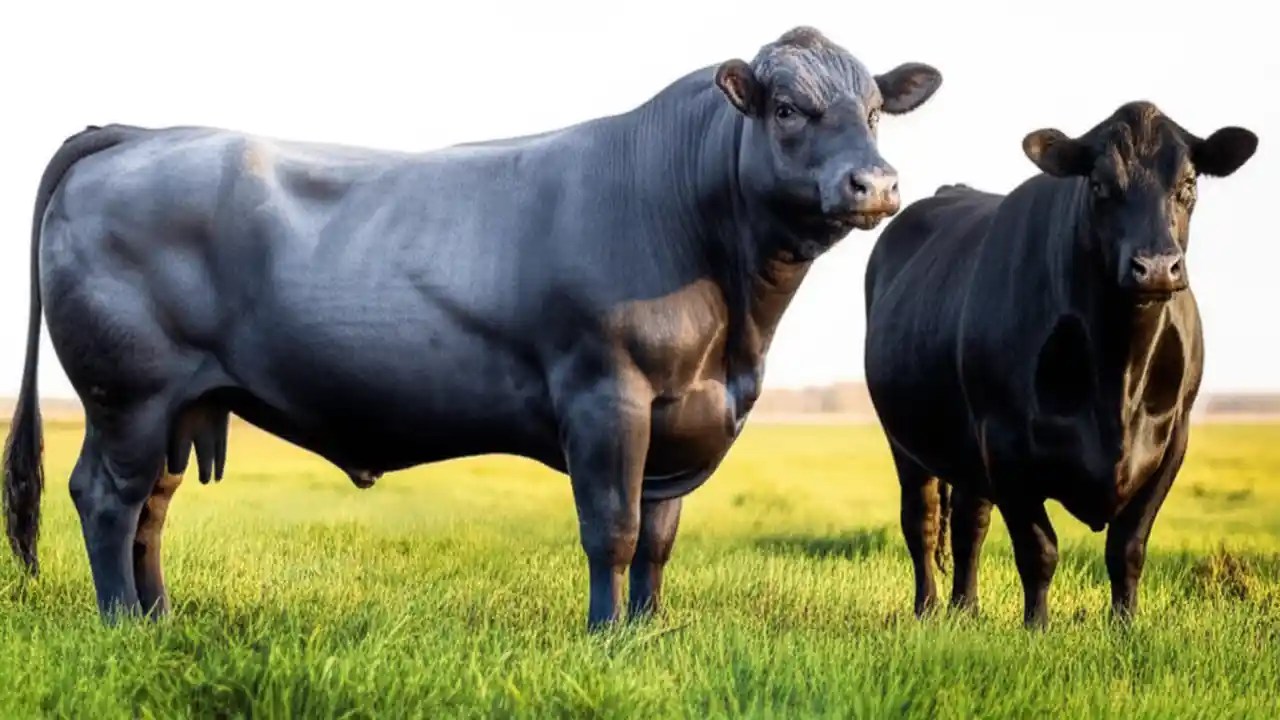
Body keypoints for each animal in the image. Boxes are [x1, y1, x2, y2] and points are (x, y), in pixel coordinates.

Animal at [2, 27, 941, 628]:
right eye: (787, 110)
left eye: (875, 110)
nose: (875, 183)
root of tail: (136, 132)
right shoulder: (607, 395)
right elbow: (613, 529)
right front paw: (606, 636)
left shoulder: (681, 411)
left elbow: (658, 541)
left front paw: (650, 630)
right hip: (127, 393)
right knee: (107, 498)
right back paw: (121, 624)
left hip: (180, 402)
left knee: (152, 508)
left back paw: (159, 618)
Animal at [863, 101, 1257, 627]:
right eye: (1099, 185)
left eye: (1189, 183)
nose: (1155, 267)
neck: (1118, 375)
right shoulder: (1004, 442)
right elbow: (1038, 549)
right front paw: (1037, 627)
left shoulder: (1174, 438)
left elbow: (1127, 547)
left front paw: (1125, 627)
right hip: (905, 440)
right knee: (922, 521)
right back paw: (928, 608)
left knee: (969, 522)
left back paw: (966, 609)